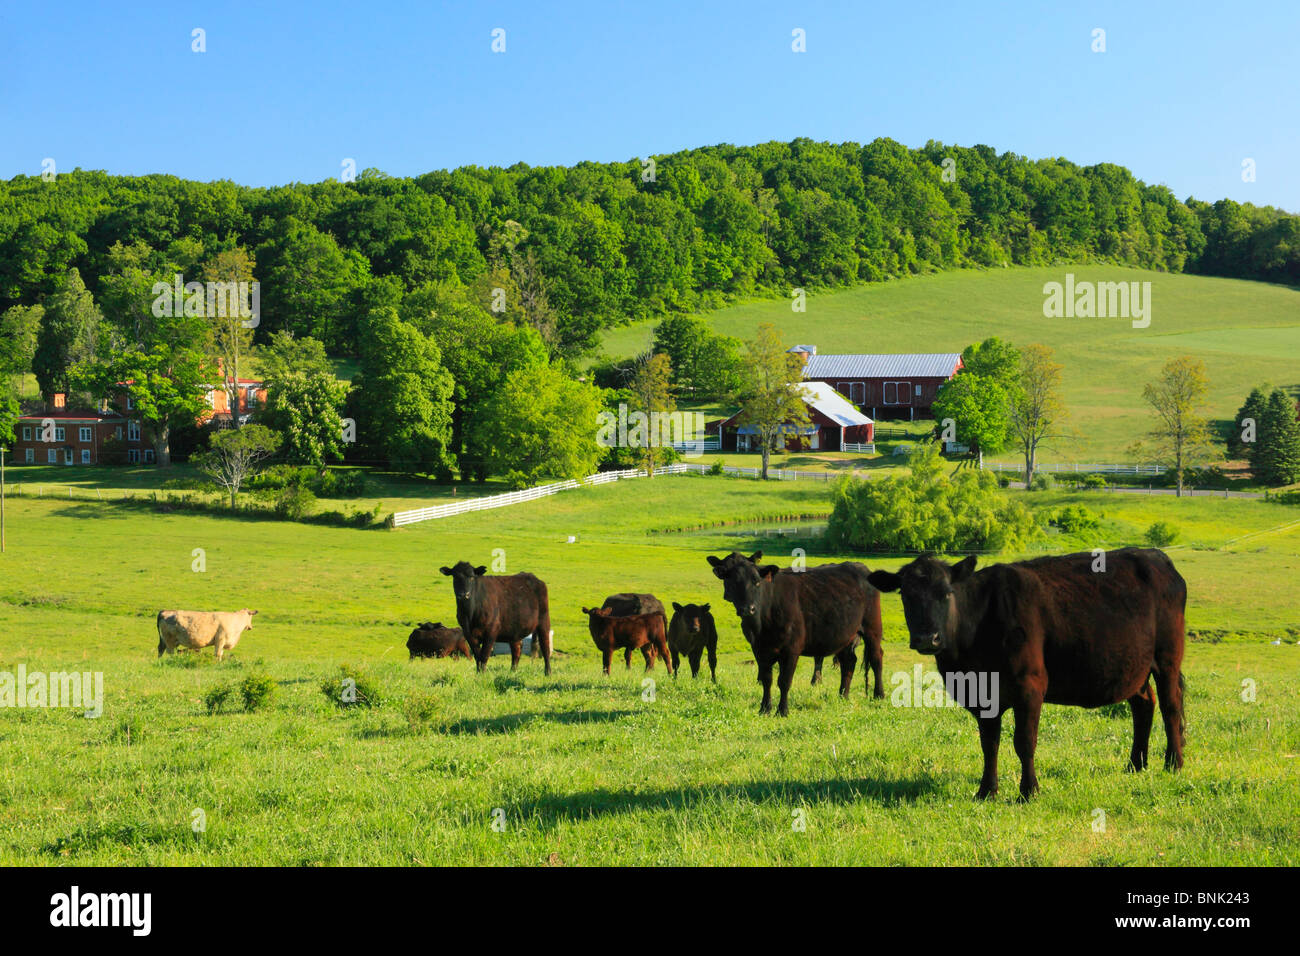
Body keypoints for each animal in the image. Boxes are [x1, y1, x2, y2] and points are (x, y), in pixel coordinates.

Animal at [707, 551, 884, 715]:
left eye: (756, 582)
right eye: (732, 582)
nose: (748, 609)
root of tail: (859, 566)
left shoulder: (791, 649)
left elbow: (784, 681)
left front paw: (782, 711)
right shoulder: (759, 649)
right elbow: (766, 679)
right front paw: (764, 709)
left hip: (872, 627)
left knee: (876, 658)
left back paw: (879, 695)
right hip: (844, 635)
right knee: (848, 662)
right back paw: (843, 696)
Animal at [867, 548, 1187, 801]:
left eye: (946, 593)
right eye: (906, 596)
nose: (926, 638)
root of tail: (1156, 557)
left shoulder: (1030, 686)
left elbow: (1024, 741)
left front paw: (1029, 791)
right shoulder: (981, 696)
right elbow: (989, 744)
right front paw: (986, 791)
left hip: (1167, 659)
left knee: (1170, 706)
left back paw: (1174, 762)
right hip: (1133, 668)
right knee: (1144, 704)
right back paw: (1136, 764)